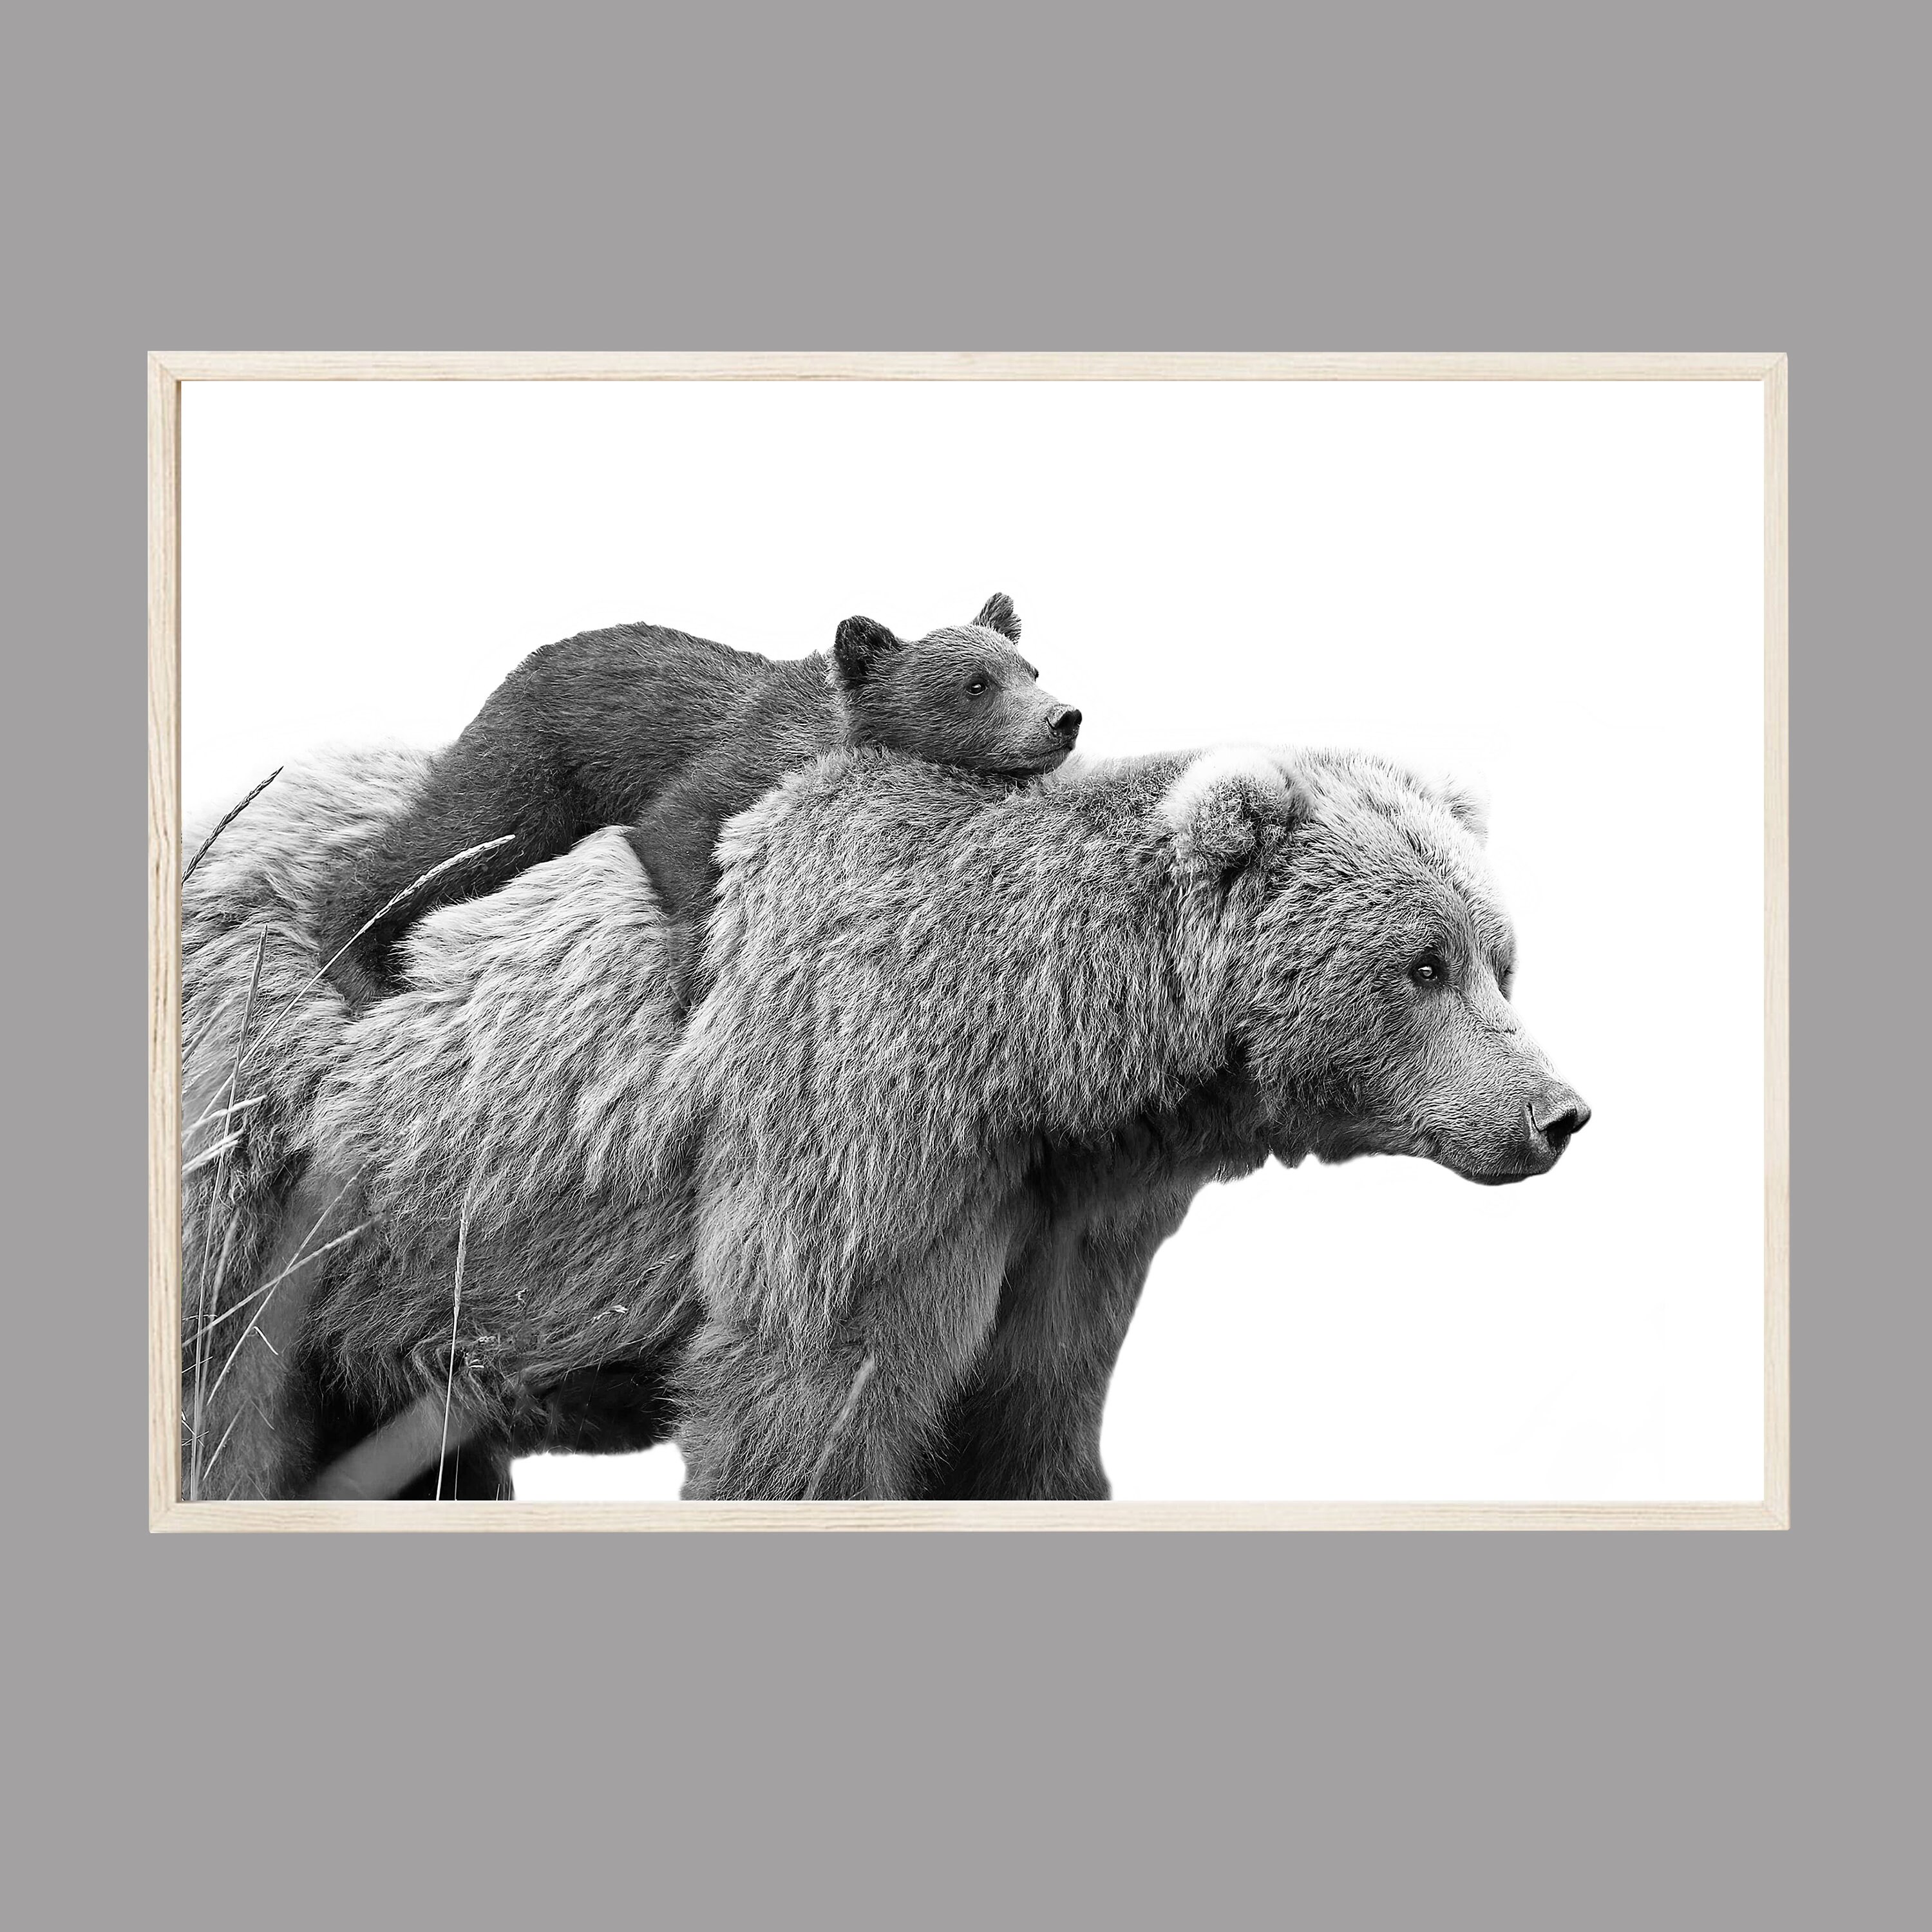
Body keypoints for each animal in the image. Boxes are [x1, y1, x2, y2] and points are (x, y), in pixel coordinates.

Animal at [181, 737, 1587, 1502]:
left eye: (1500, 958)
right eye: (1421, 964)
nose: (1558, 1111)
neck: (1040, 1054)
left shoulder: (1060, 1231)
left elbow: (1029, 1422)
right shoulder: (854, 1142)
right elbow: (804, 1399)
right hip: (273, 1170)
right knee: (228, 1407)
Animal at [310, 593, 1081, 1010]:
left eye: (1031, 668)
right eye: (976, 684)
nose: (1063, 718)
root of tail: (518, 667)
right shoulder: (733, 763)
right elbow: (676, 833)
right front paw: (694, 978)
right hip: (534, 764)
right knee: (453, 838)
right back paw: (358, 961)